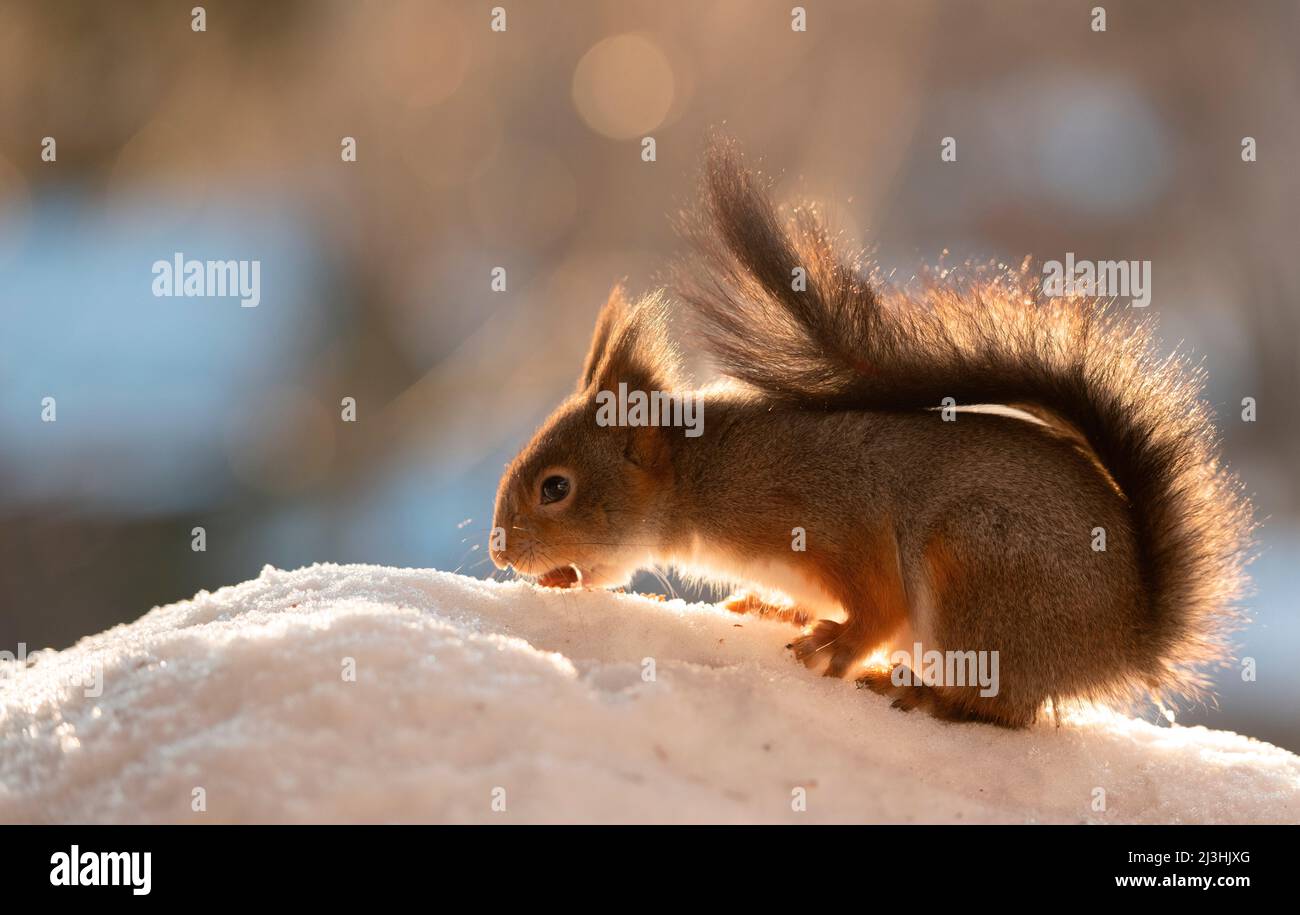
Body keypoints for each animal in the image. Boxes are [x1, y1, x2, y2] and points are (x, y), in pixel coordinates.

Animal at [489, 139, 1254, 728]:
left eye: (555, 488)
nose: (499, 550)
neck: (702, 473)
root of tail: (1126, 639)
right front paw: (772, 605)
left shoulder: (829, 516)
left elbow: (879, 608)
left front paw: (837, 647)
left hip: (974, 563)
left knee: (999, 708)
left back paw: (917, 690)